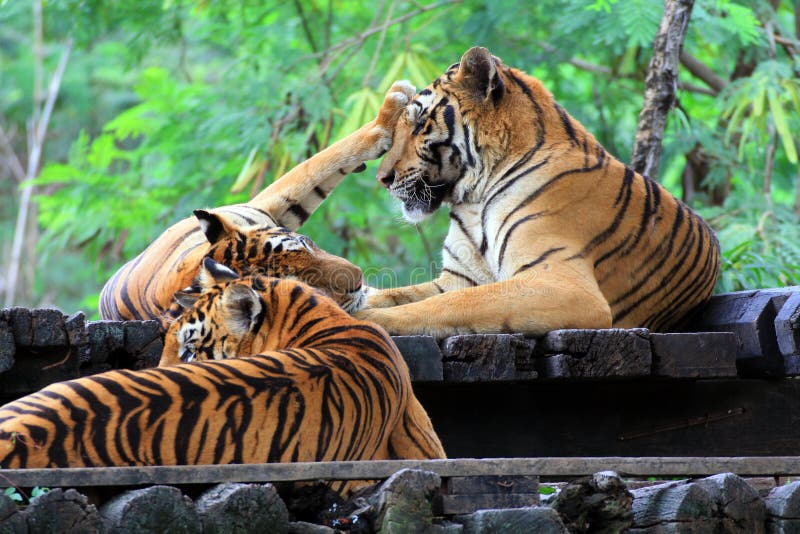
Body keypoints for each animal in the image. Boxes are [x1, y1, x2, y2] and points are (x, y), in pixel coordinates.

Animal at [99, 81, 416, 324]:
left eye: (305, 243)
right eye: (299, 283)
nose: (358, 279)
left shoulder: (263, 206)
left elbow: (316, 164)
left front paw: (393, 103)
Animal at [355, 47, 720, 338]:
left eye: (419, 124)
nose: (382, 178)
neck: (474, 199)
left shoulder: (564, 285)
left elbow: (454, 303)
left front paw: (370, 318)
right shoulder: (458, 277)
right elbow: (398, 293)